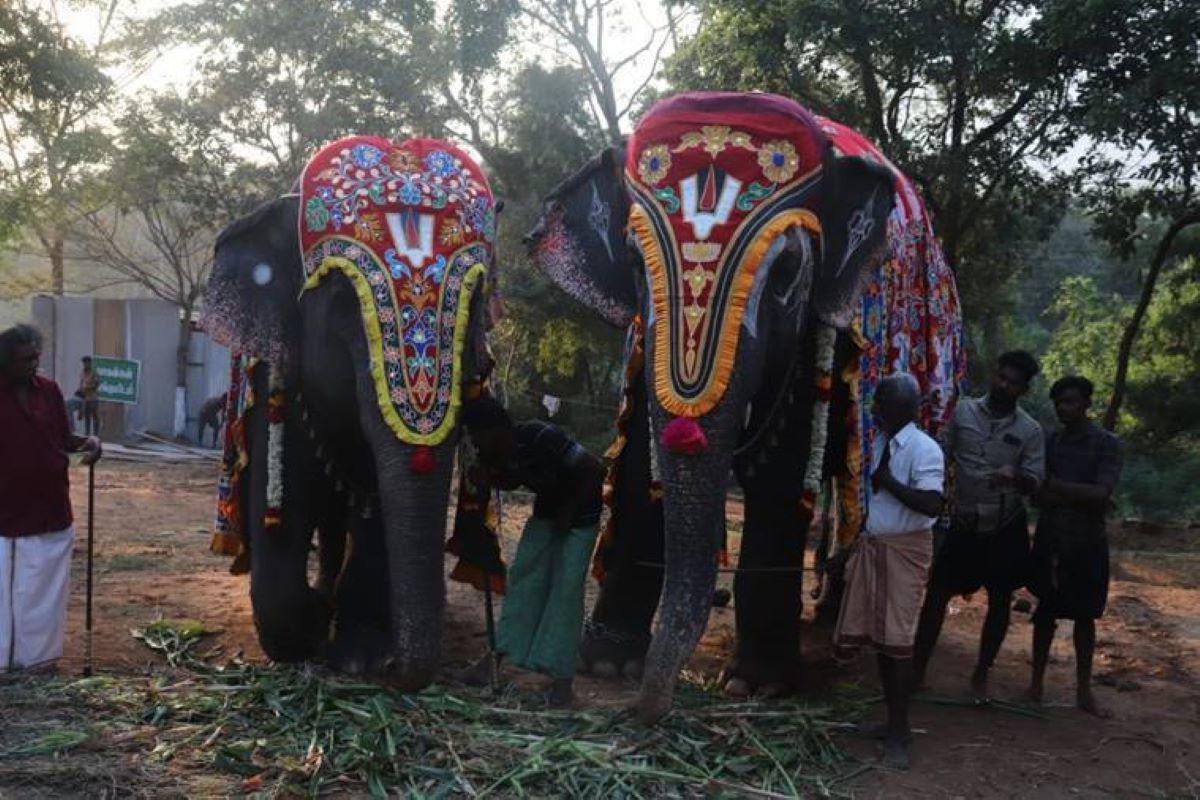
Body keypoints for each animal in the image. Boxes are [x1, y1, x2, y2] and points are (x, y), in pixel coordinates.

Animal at [204, 136, 499, 688]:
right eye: (342, 304)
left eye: (476, 307)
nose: (396, 669)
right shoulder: (278, 366)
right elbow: (282, 495)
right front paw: (315, 625)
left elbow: (380, 500)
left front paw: (361, 652)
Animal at [525, 92, 964, 722]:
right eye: (634, 266)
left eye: (786, 273)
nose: (642, 710)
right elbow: (637, 466)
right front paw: (607, 664)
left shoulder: (817, 333)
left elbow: (778, 477)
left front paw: (756, 687)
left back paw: (833, 622)